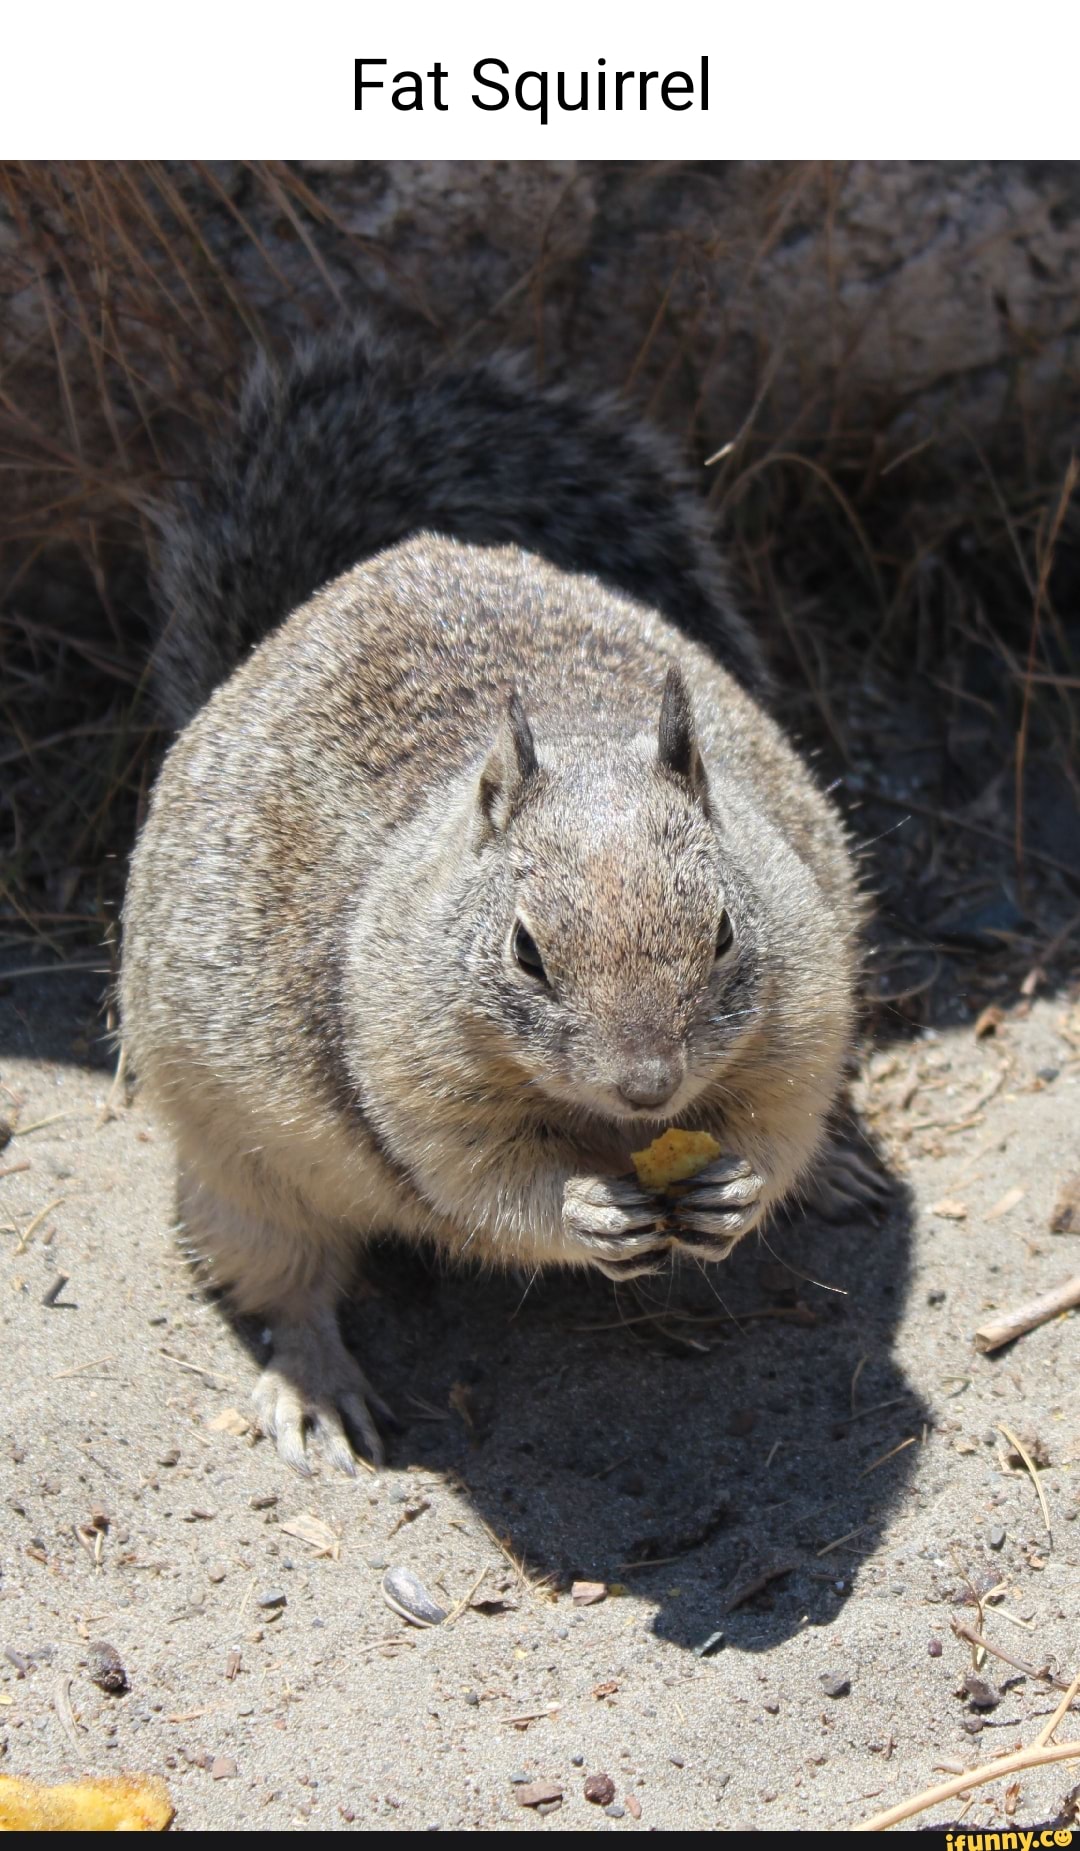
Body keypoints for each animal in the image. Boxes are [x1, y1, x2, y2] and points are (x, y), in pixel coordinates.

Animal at [120, 324, 871, 1476]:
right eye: (525, 950)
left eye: (724, 933)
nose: (649, 1086)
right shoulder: (415, 1082)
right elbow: (485, 1193)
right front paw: (583, 1211)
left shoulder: (804, 1007)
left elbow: (779, 1119)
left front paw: (743, 1184)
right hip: (241, 1173)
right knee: (287, 1283)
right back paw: (317, 1389)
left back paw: (838, 1170)